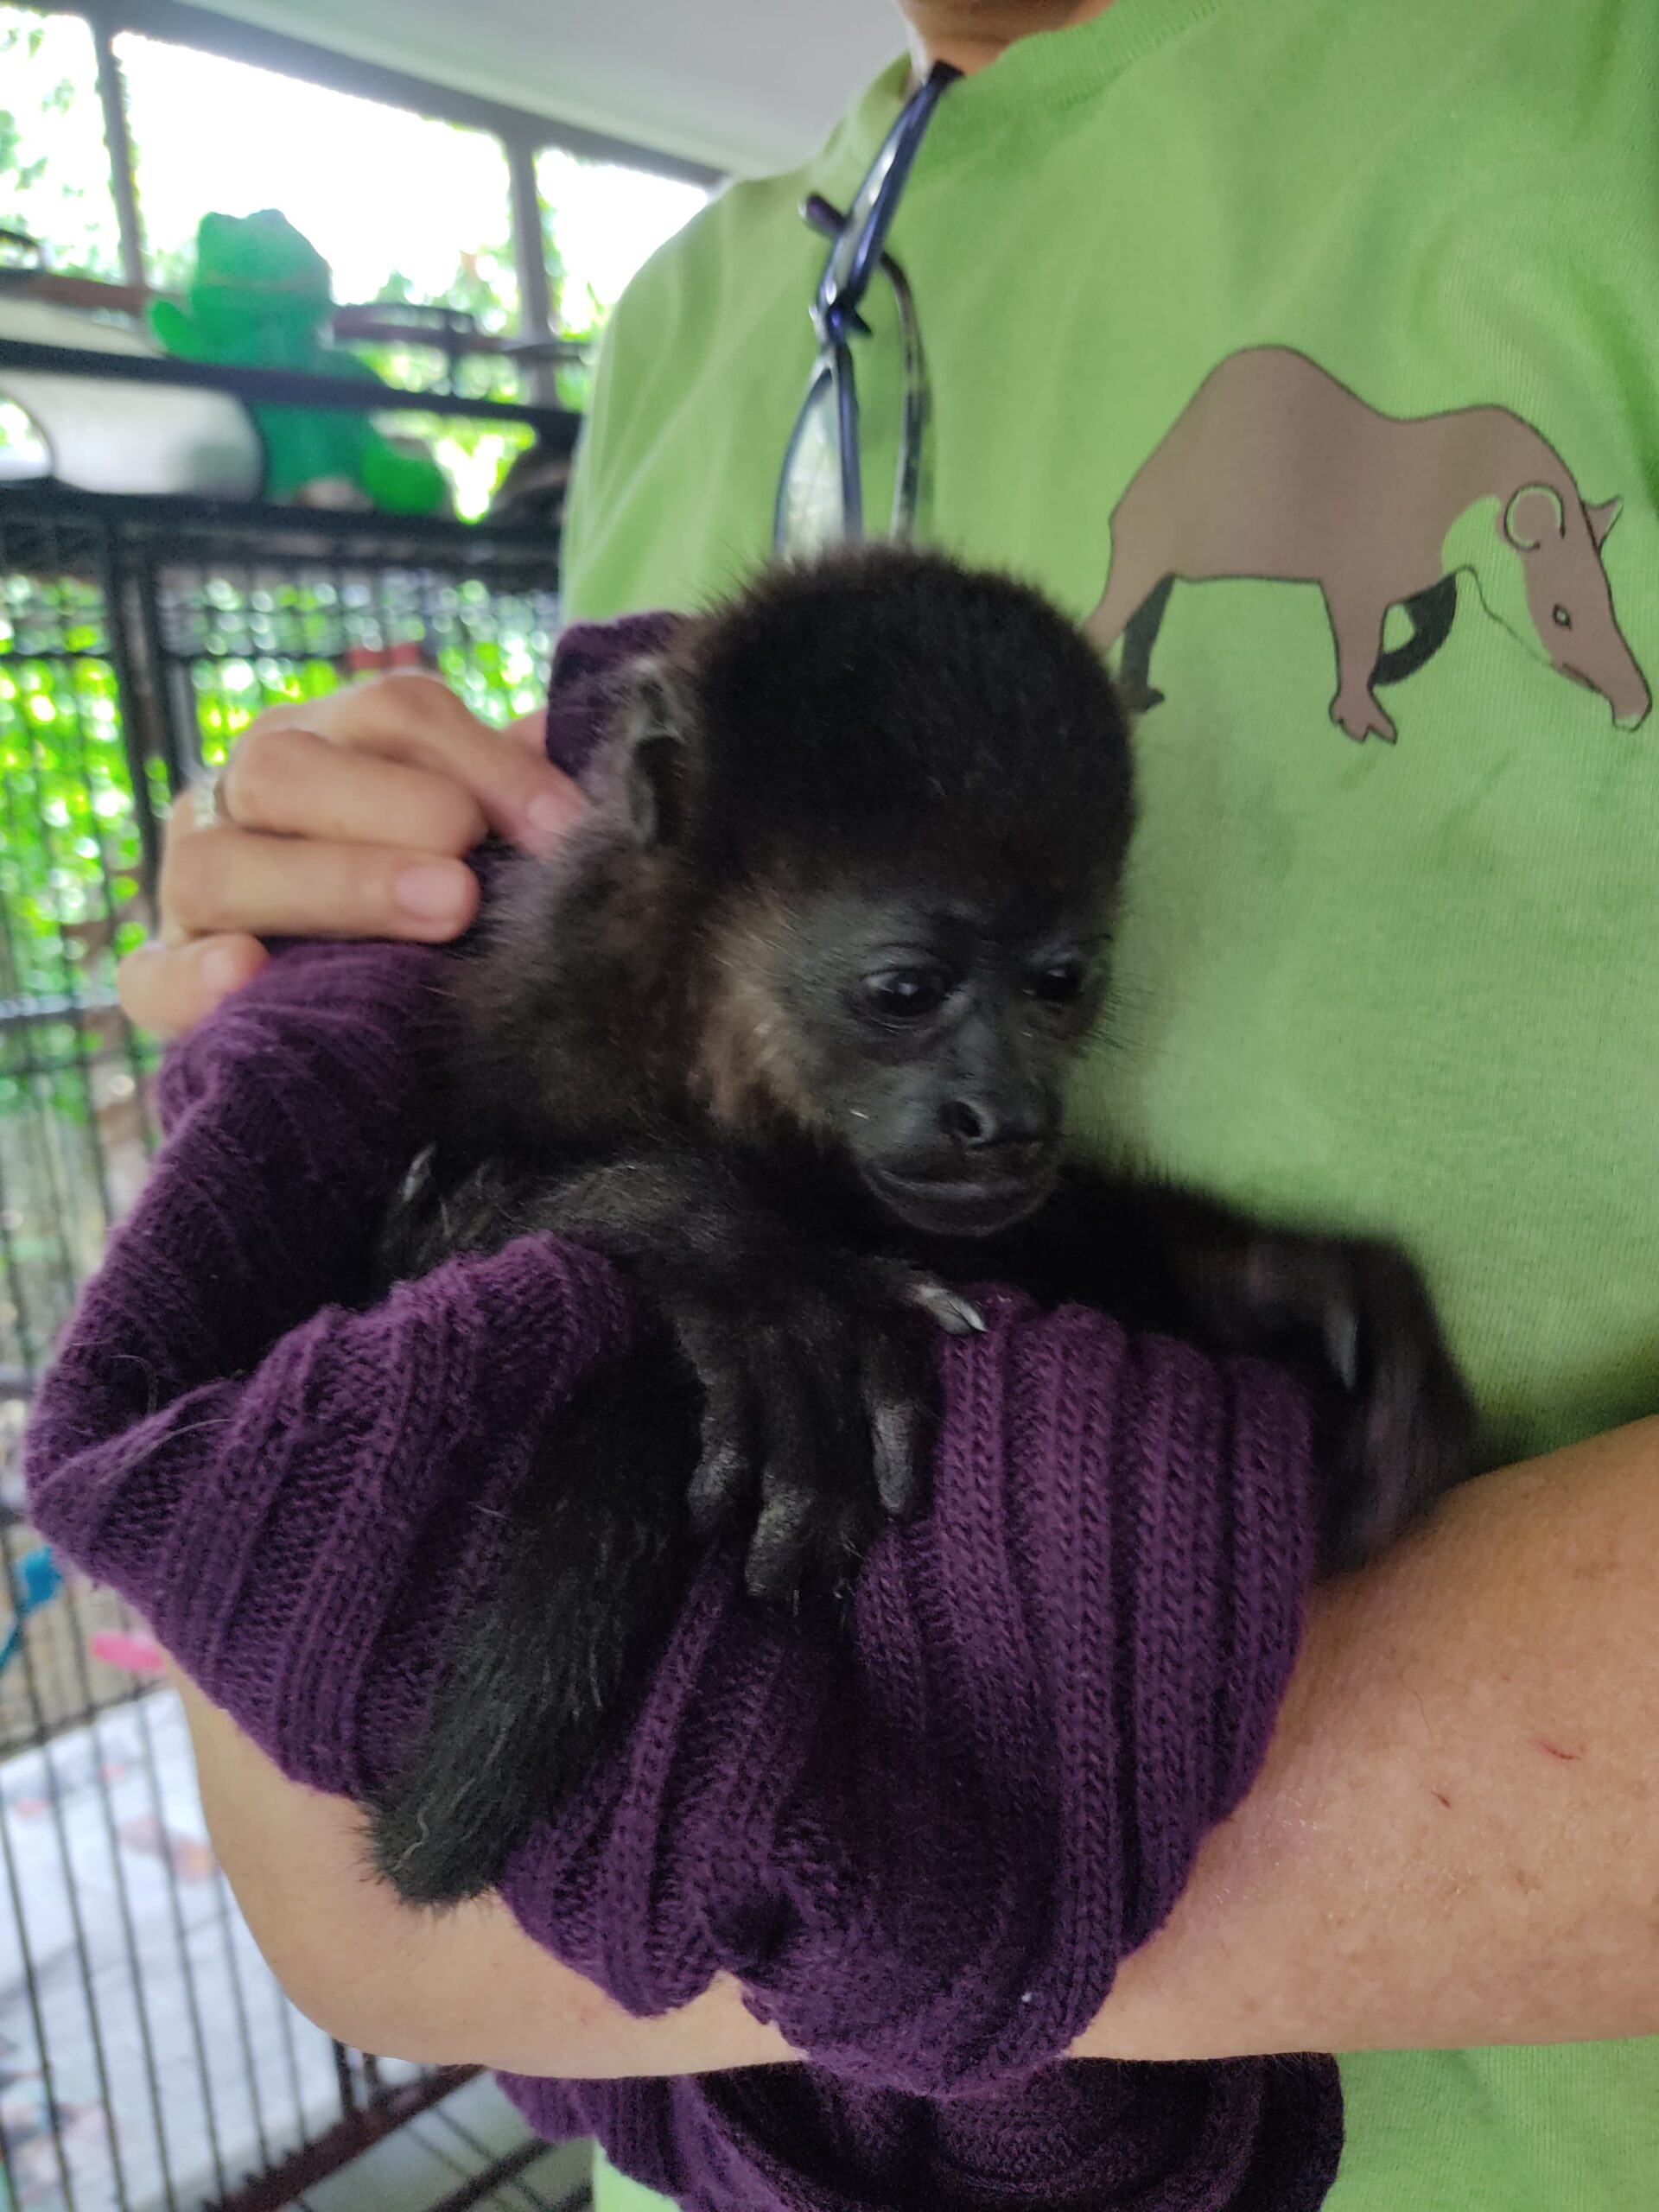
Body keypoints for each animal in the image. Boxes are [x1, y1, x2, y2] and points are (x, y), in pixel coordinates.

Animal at [367, 546, 1476, 1909]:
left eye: (1061, 983)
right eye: (905, 990)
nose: (1008, 1116)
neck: (728, 1041)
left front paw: (1291, 1281)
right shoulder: (562, 995)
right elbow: (432, 1239)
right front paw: (759, 1280)